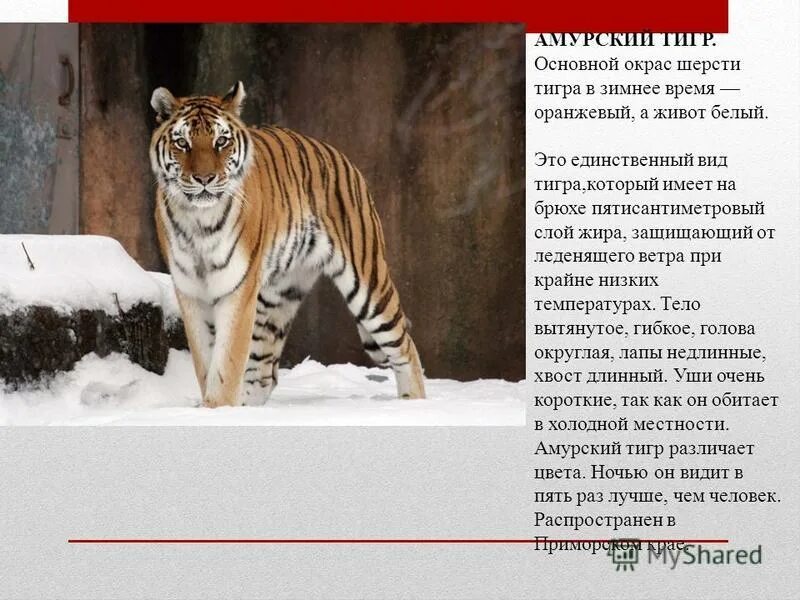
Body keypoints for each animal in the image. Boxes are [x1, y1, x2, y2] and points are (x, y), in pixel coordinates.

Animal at [149, 81, 426, 407]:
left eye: (221, 141)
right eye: (182, 143)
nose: (205, 178)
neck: (199, 221)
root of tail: (338, 153)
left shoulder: (237, 290)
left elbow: (226, 364)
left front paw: (217, 408)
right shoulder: (191, 291)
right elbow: (206, 363)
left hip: (368, 283)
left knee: (405, 346)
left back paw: (413, 402)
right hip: (278, 296)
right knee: (264, 371)